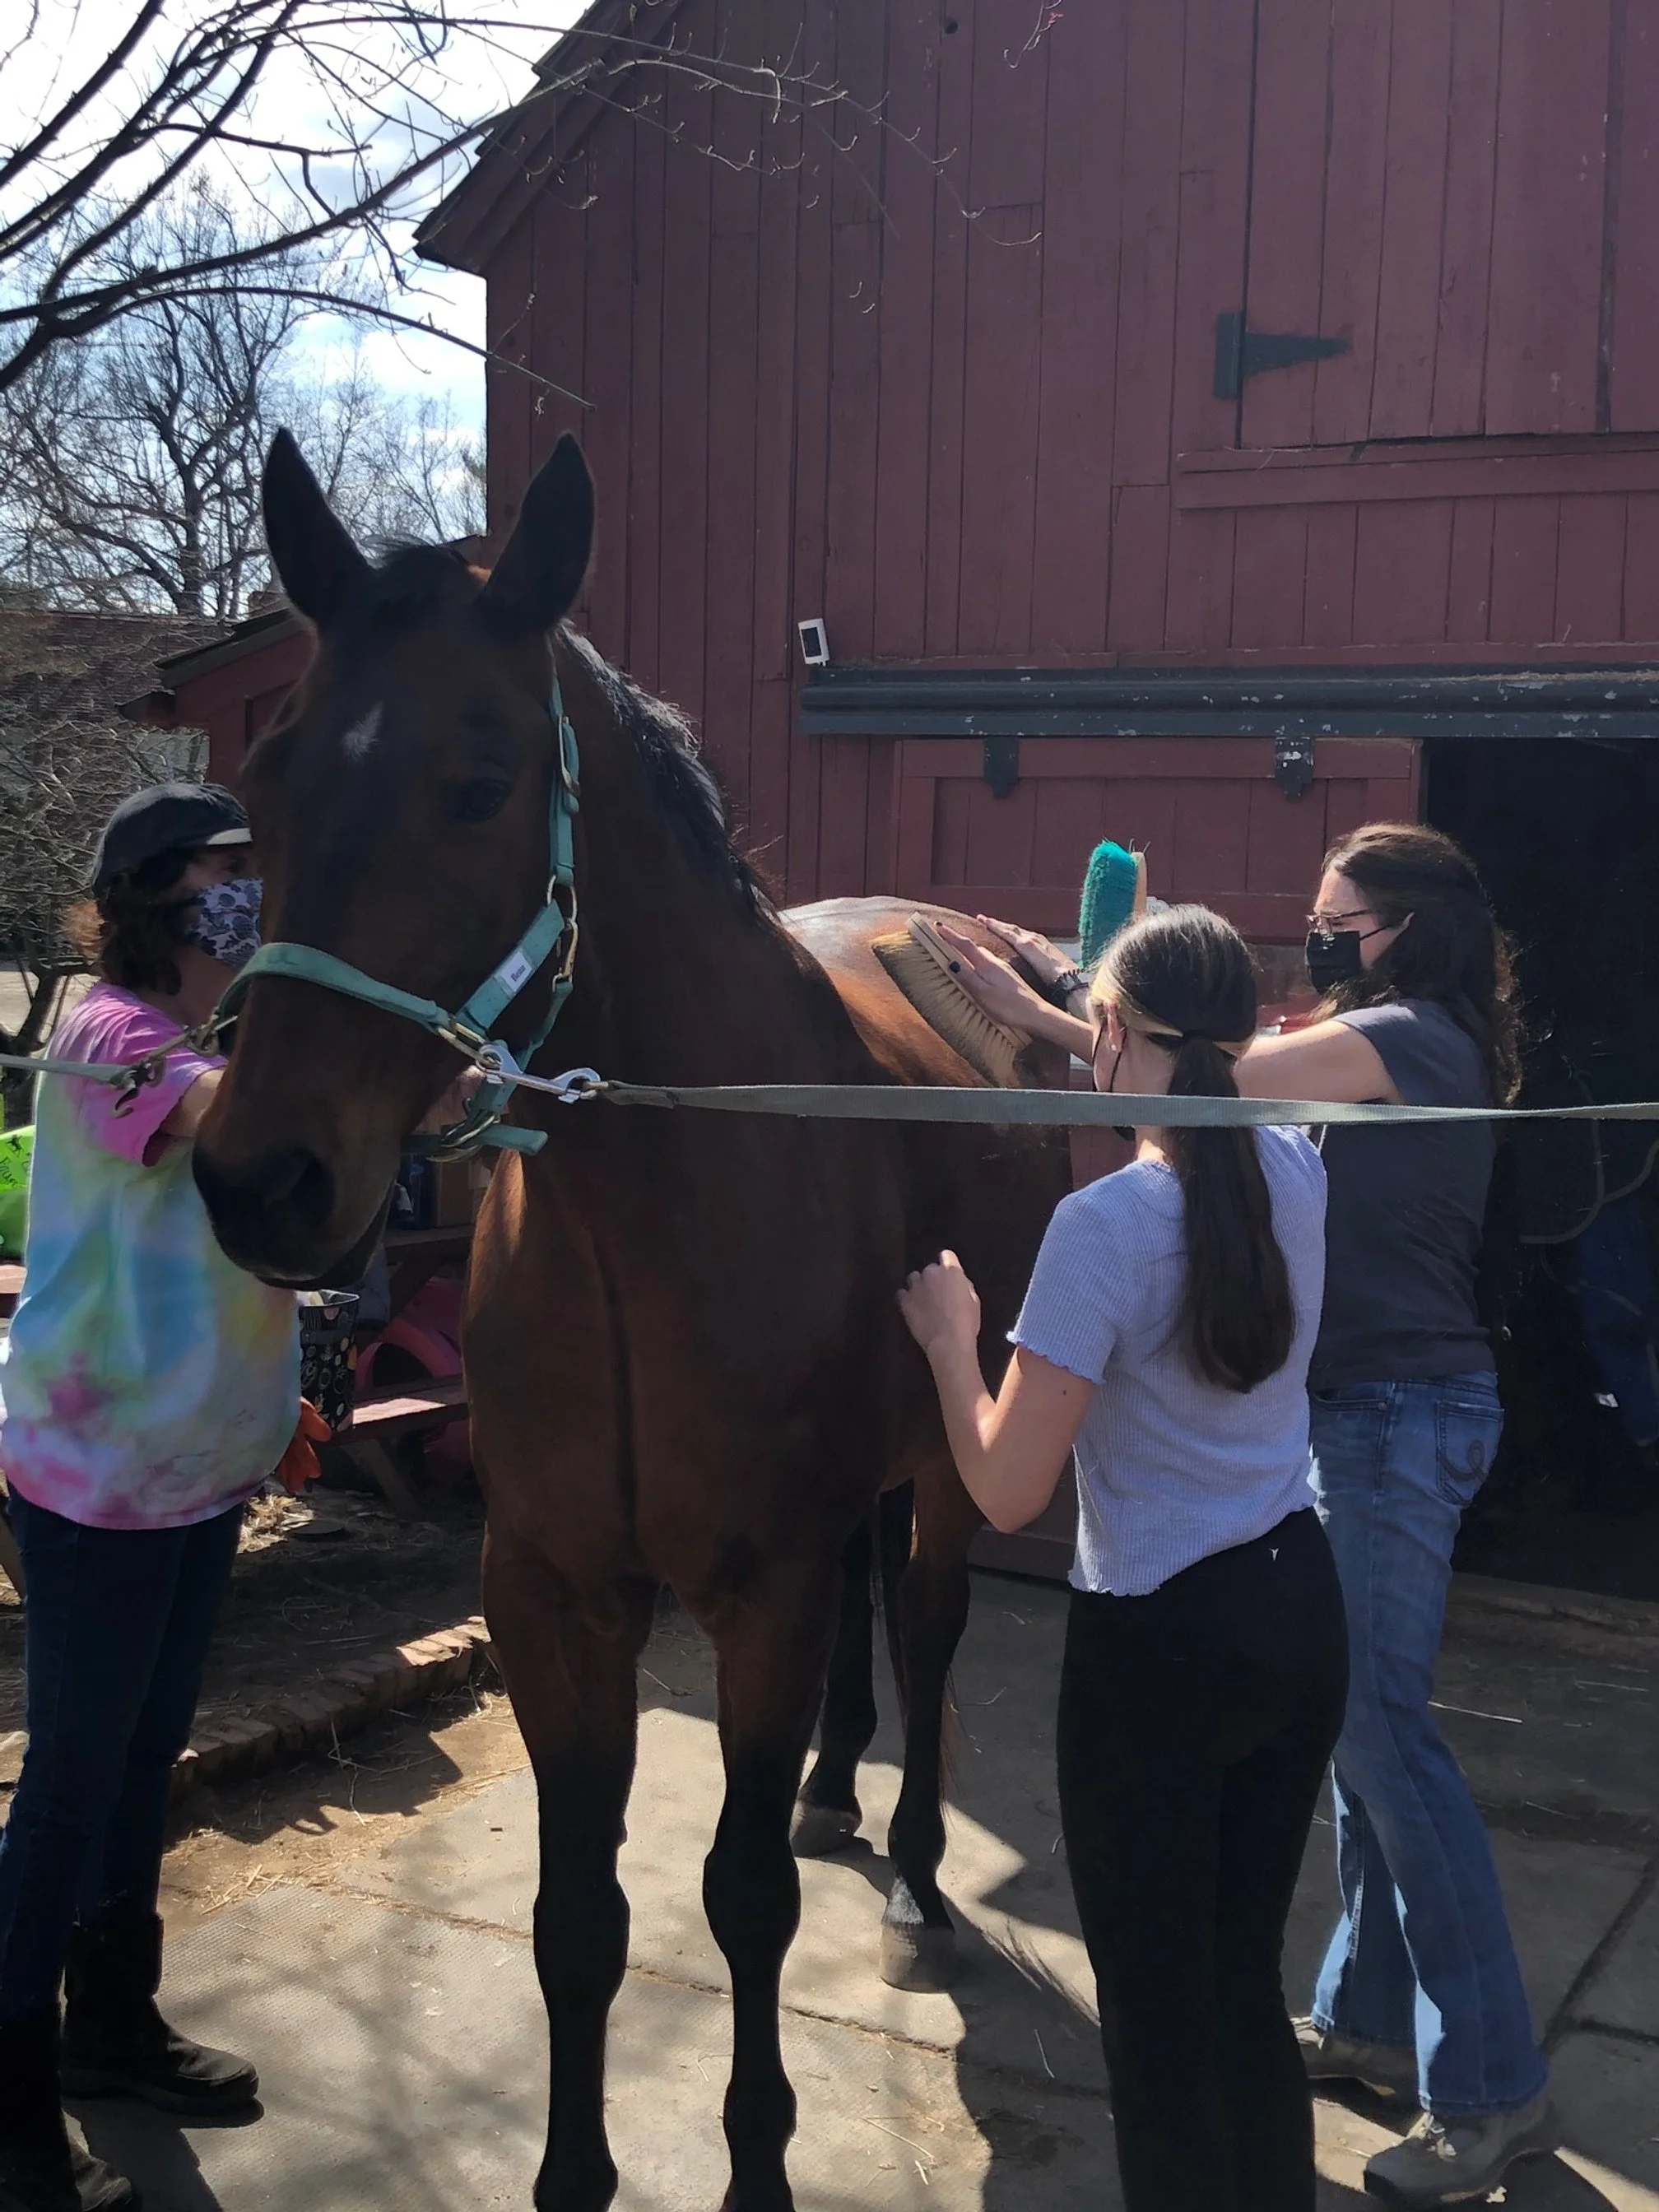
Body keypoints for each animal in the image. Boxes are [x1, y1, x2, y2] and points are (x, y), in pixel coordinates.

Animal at [192, 430, 1070, 2212]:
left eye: (479, 782)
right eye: (273, 774)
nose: (262, 1180)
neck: (647, 1213)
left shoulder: (759, 1592)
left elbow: (738, 1902)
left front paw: (757, 2164)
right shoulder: (552, 1595)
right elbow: (577, 1915)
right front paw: (572, 2174)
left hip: (961, 1449)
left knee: (928, 1617)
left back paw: (917, 1881)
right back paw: (834, 1789)